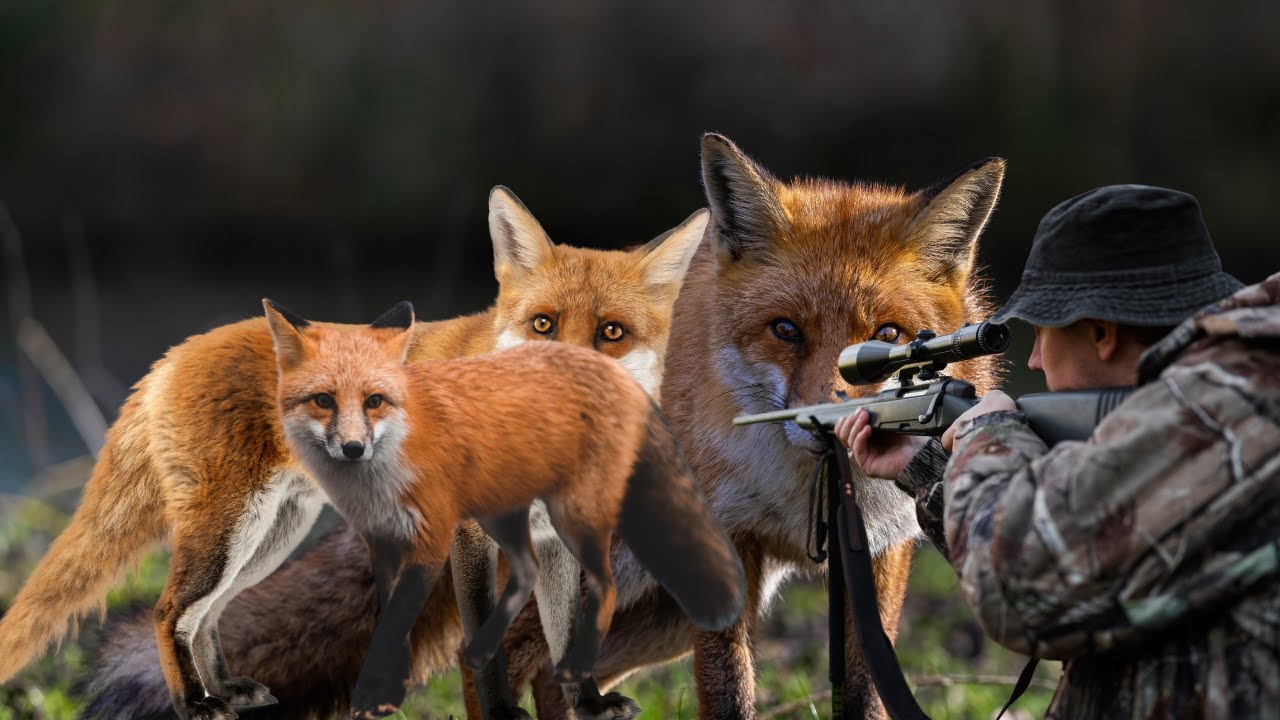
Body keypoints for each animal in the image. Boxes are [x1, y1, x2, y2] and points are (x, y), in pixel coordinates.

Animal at [265, 299, 747, 719]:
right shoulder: (471, 535)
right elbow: (481, 640)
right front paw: (499, 710)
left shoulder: (552, 540)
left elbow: (565, 631)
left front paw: (588, 703)